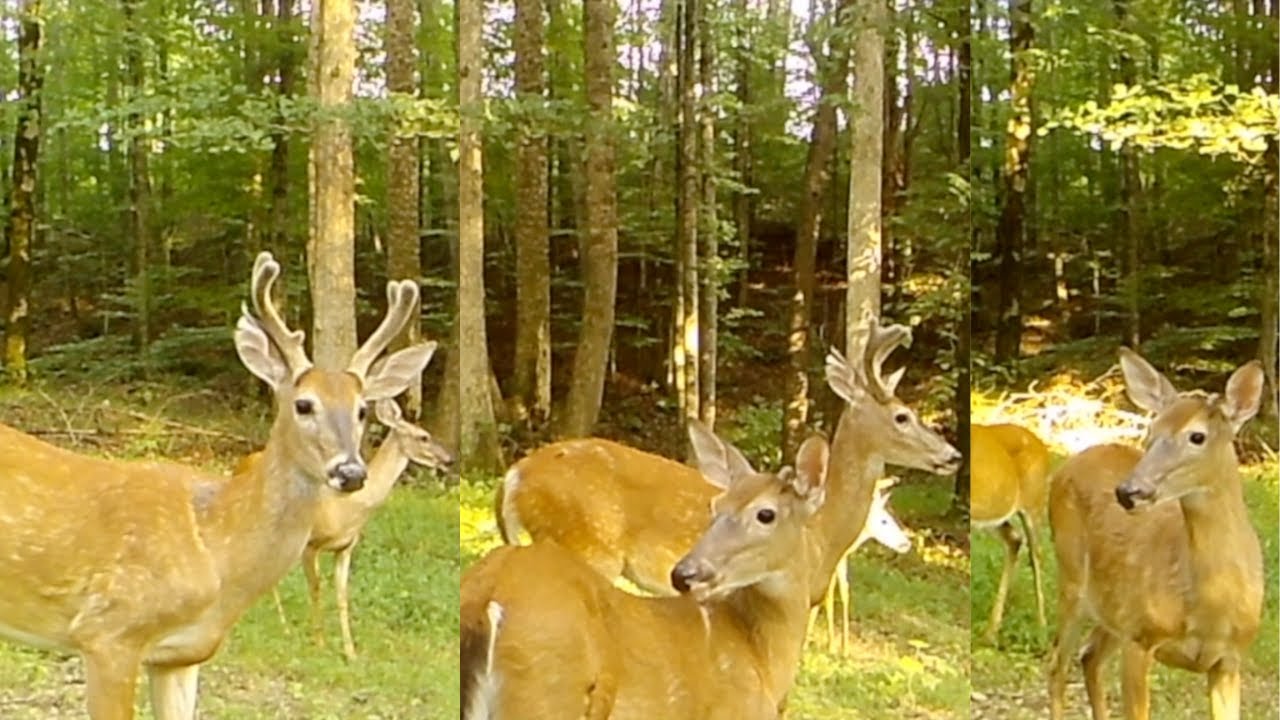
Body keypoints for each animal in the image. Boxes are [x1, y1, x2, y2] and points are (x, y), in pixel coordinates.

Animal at [0, 252, 434, 720]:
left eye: (361, 411)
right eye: (303, 404)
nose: (351, 472)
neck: (216, 548)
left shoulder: (181, 655)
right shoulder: (107, 631)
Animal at [260, 397, 454, 660]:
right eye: (423, 436)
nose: (449, 459)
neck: (347, 507)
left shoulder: (345, 548)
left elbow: (342, 596)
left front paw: (350, 652)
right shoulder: (311, 544)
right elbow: (316, 589)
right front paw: (320, 643)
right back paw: (283, 626)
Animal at [970, 422, 1051, 642]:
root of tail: (1043, 446)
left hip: (1035, 502)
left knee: (1037, 554)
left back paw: (1042, 629)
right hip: (998, 512)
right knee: (1014, 540)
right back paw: (991, 632)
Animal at [1047, 348, 1265, 720]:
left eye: (1197, 436)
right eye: (1151, 430)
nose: (1127, 492)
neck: (1211, 606)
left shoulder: (1230, 658)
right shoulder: (1141, 636)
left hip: (1113, 607)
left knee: (1089, 656)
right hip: (1072, 577)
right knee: (1057, 665)